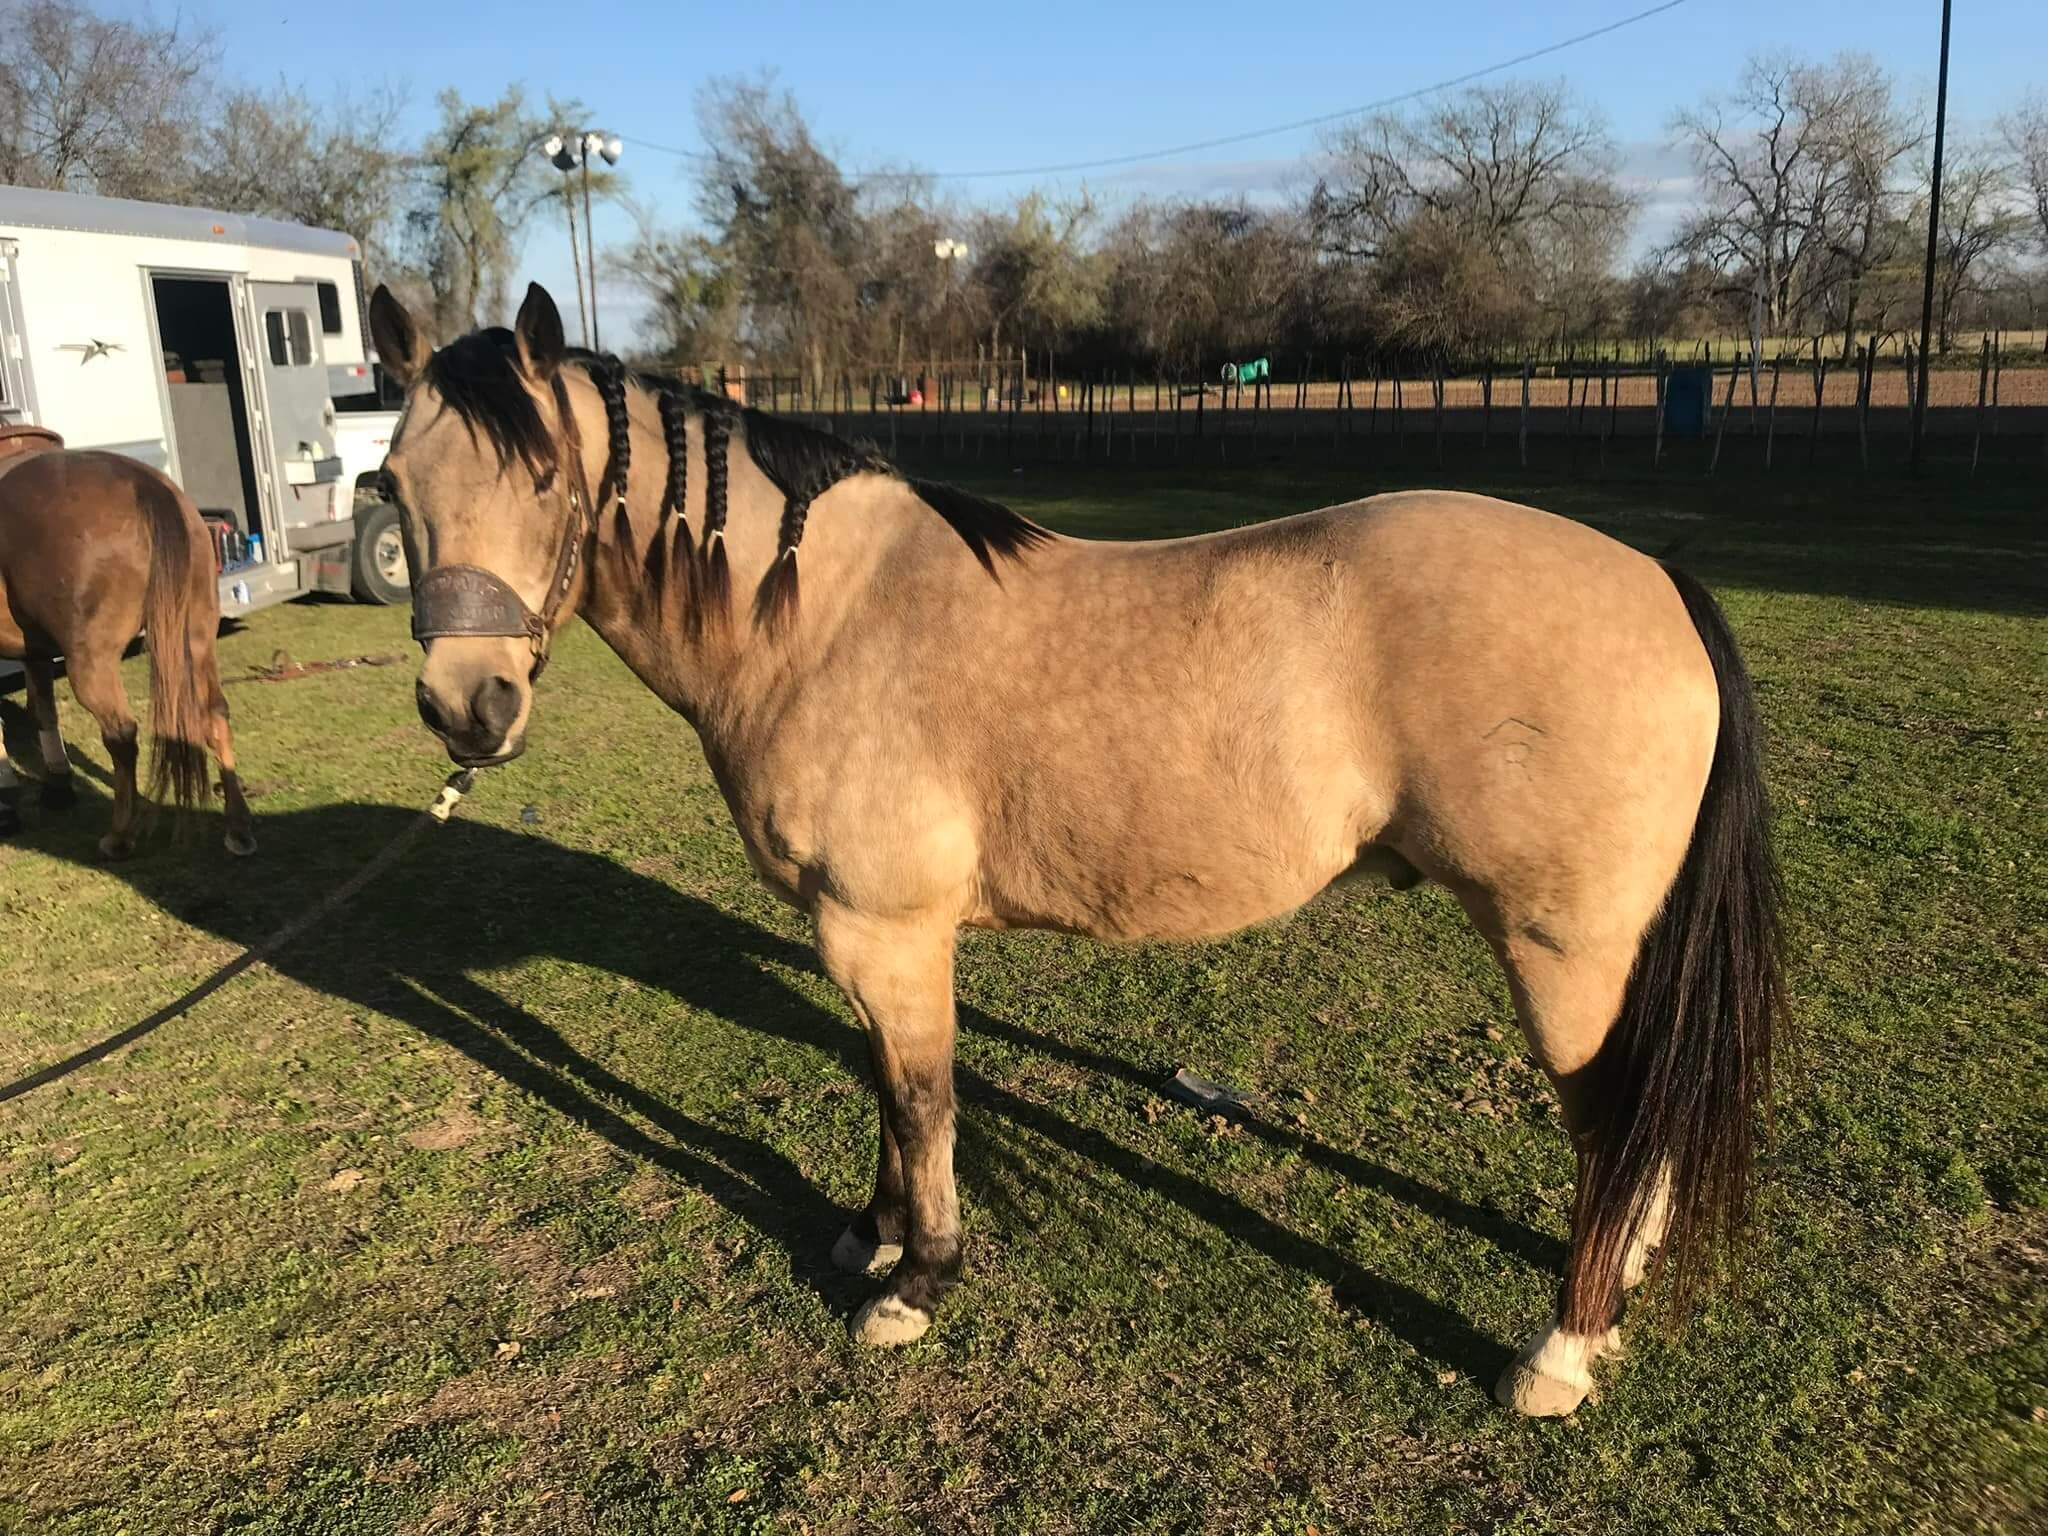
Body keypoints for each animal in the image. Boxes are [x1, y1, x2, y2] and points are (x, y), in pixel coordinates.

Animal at [0, 429, 256, 858]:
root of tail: (144, 484)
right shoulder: (33, 651)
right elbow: (42, 711)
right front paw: (56, 786)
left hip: (91, 662)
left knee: (122, 735)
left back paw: (120, 835)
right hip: (198, 636)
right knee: (215, 714)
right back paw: (238, 828)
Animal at [370, 282, 1782, 1418]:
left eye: (547, 483)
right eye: (391, 482)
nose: (466, 707)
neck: (821, 617)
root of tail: (1658, 580)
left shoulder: (885, 930)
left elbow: (924, 1099)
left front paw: (915, 1284)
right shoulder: (865, 936)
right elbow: (885, 1089)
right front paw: (868, 1237)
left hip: (1561, 952)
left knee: (1610, 1125)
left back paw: (1557, 1355)